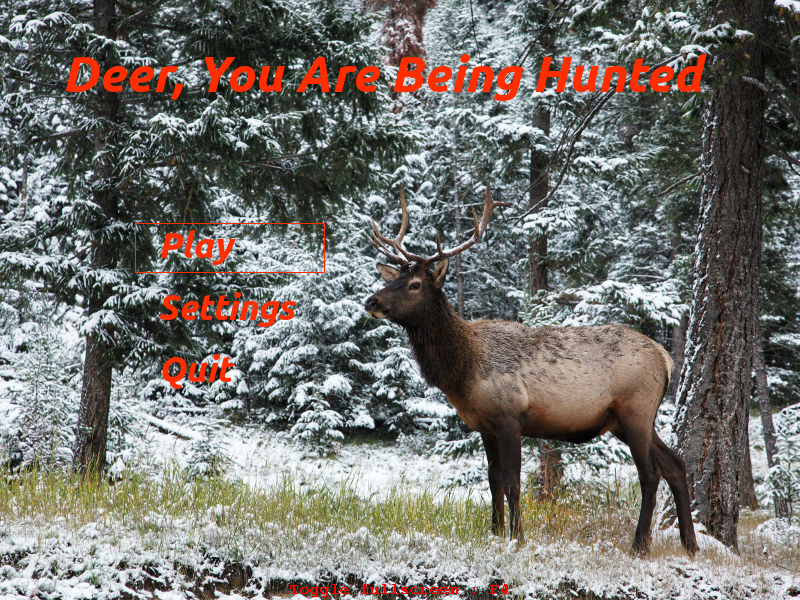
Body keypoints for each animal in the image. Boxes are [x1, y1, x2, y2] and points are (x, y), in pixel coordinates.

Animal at [363, 183, 698, 557]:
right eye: (395, 279)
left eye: (415, 285)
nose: (371, 301)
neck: (462, 372)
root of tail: (665, 358)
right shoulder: (485, 426)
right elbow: (493, 481)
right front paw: (494, 532)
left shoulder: (510, 416)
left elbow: (512, 483)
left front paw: (517, 537)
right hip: (625, 420)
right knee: (676, 464)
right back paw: (690, 544)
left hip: (636, 409)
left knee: (651, 474)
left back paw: (640, 544)